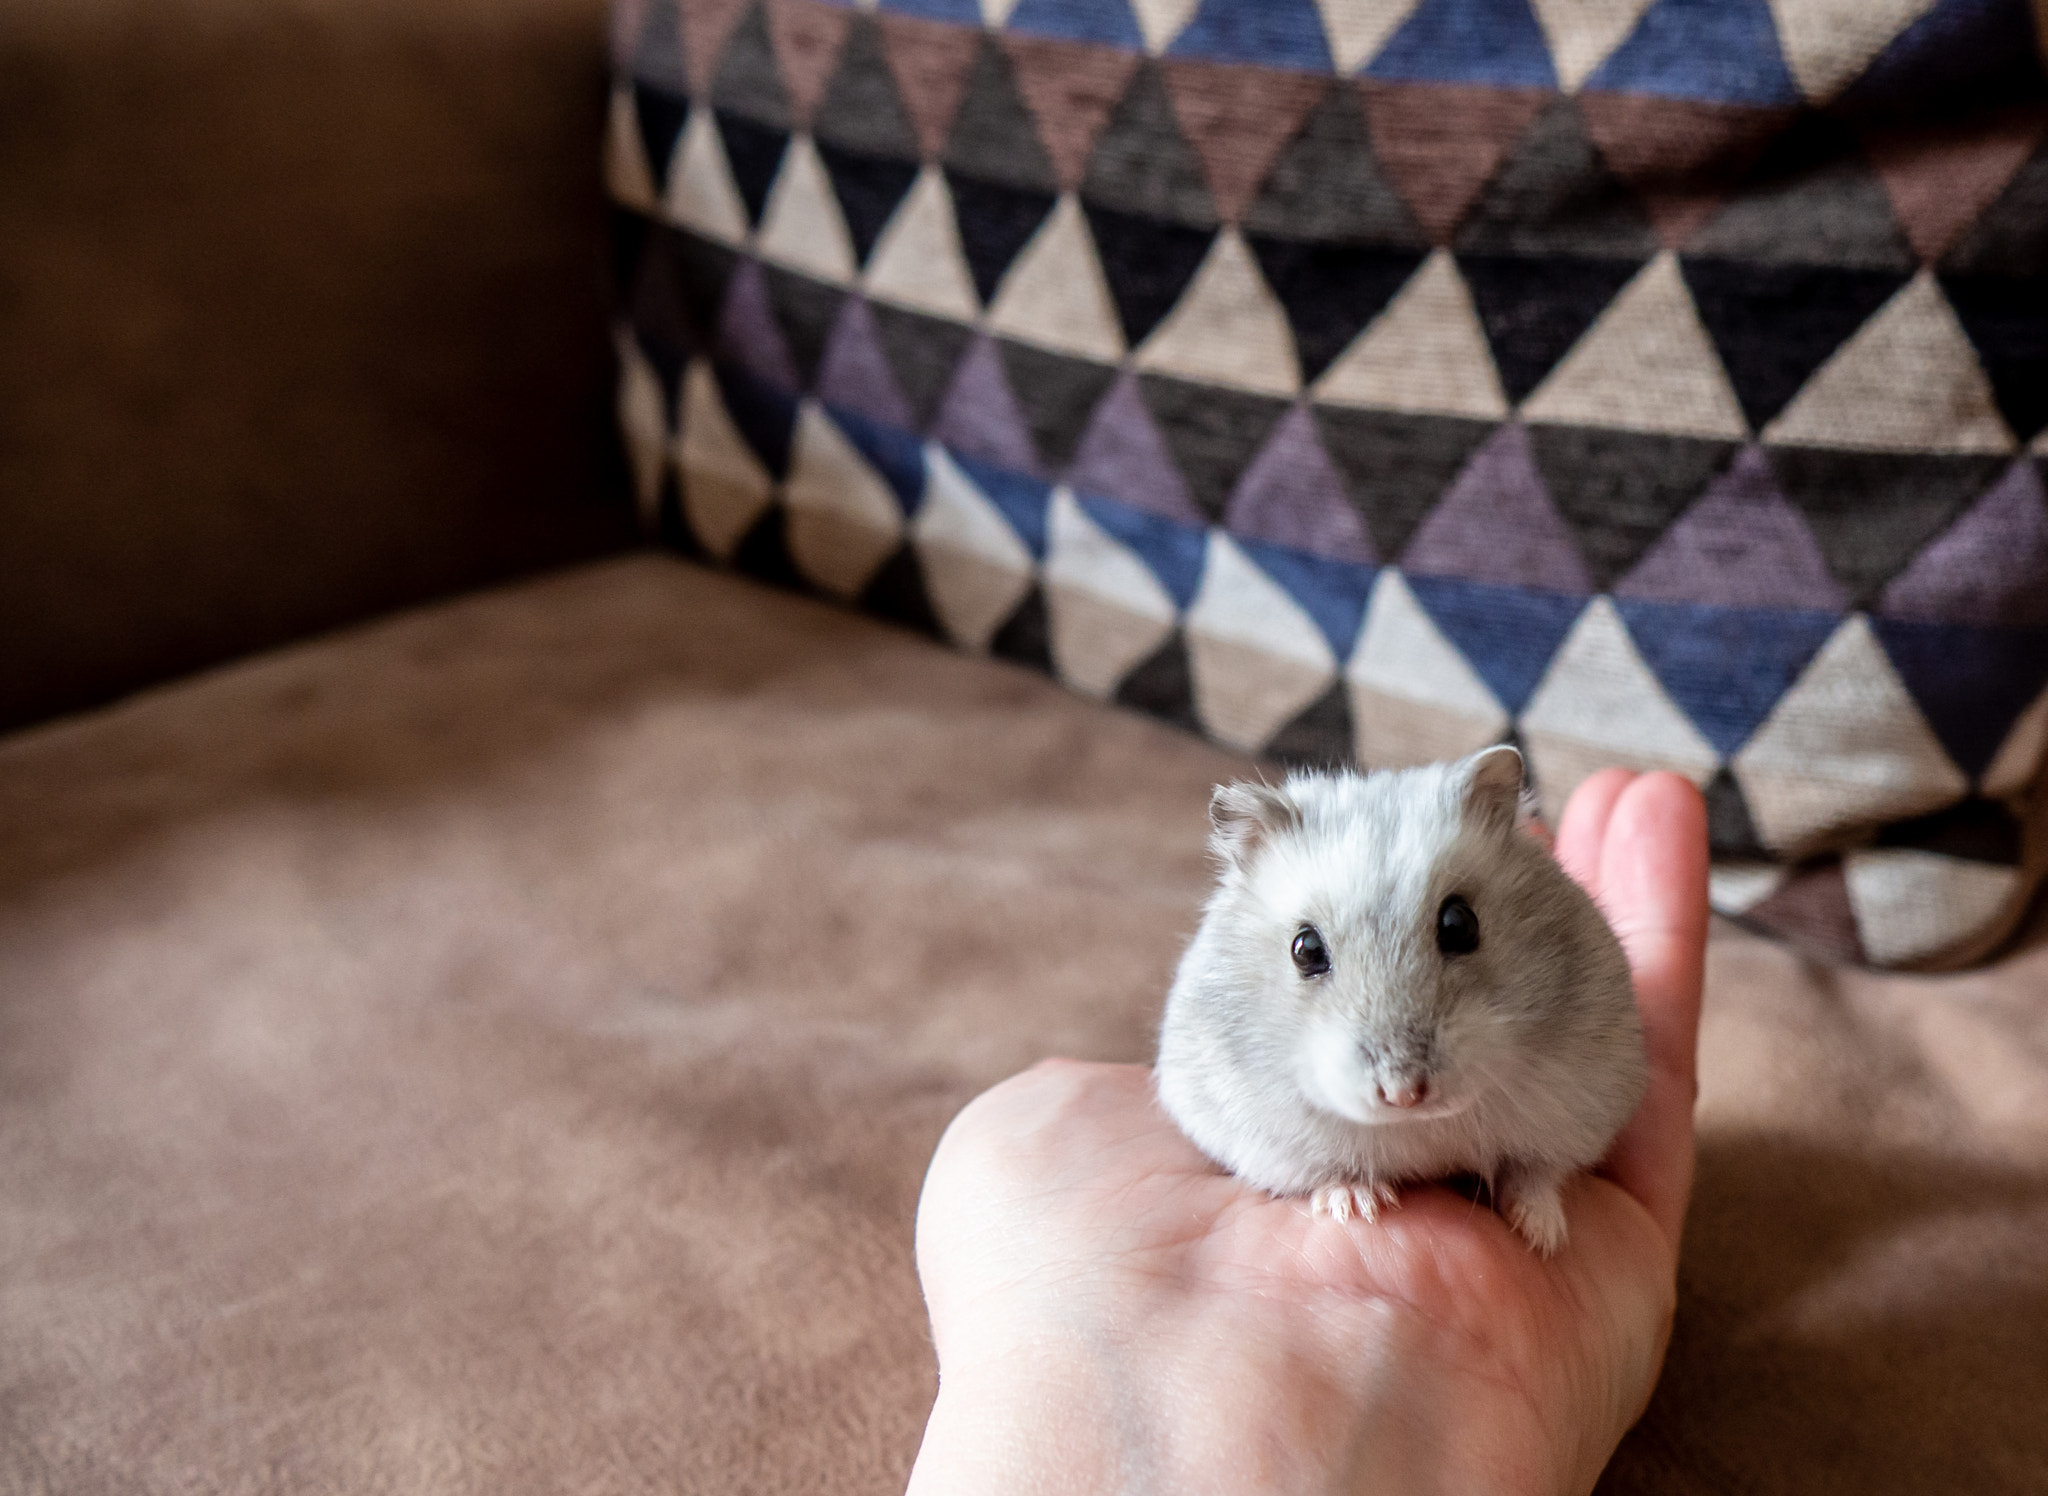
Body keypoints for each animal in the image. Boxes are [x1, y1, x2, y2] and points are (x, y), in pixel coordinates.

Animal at [1154, 746, 1645, 1257]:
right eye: (1305, 949)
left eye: (1459, 924)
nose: (1405, 1094)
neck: (1417, 1125)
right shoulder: (1257, 1137)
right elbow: (1323, 1173)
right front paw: (1358, 1205)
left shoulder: (1580, 1108)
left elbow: (1534, 1174)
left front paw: (1542, 1235)